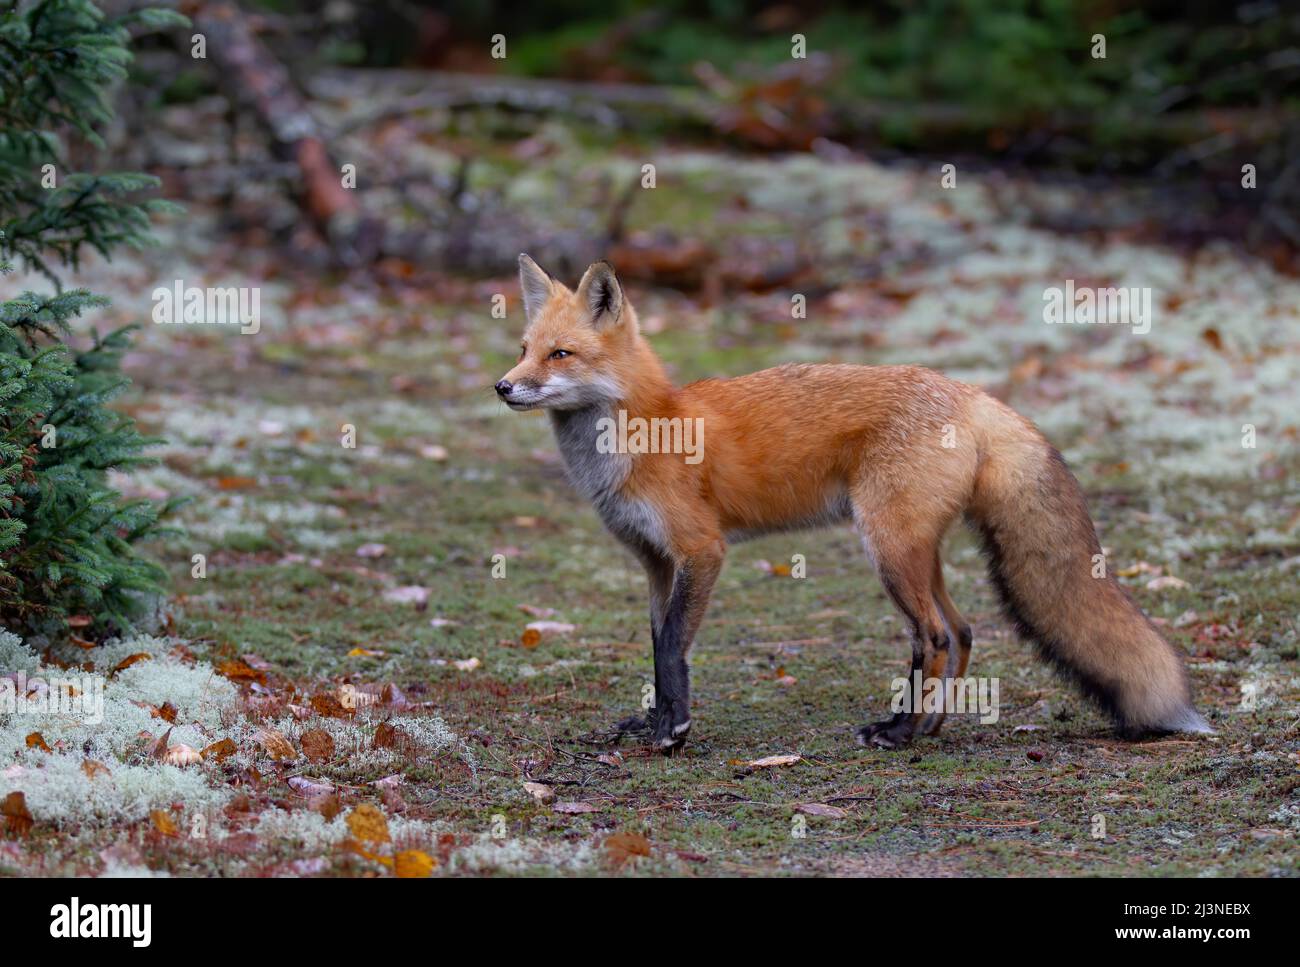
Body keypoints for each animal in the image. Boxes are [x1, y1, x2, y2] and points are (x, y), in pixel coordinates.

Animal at [497, 254, 1212, 752]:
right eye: (524, 350)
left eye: (560, 354)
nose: (502, 386)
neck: (648, 426)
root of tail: (970, 393)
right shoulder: (655, 561)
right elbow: (657, 645)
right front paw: (655, 720)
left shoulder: (702, 550)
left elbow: (673, 645)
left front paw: (673, 732)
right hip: (917, 550)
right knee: (963, 629)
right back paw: (927, 729)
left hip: (888, 547)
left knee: (933, 635)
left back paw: (897, 733)